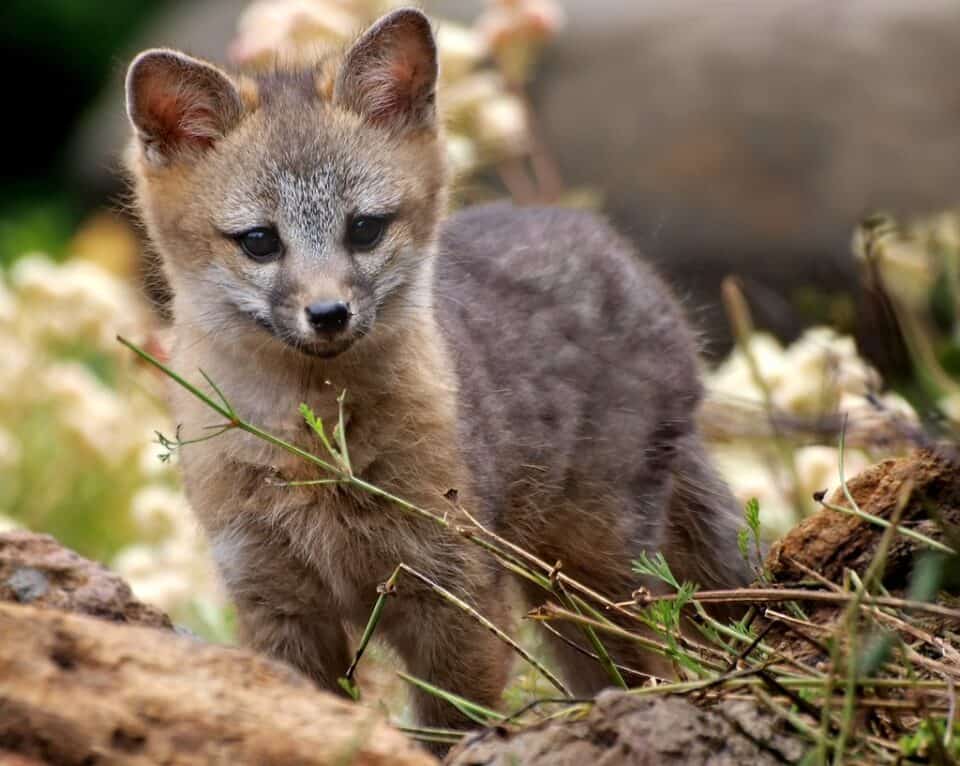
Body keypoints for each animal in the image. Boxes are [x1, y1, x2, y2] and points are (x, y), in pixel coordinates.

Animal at [123, 7, 749, 738]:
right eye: (259, 242)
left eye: (364, 229)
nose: (328, 314)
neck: (316, 453)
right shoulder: (273, 599)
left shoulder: (452, 590)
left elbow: (451, 725)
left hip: (596, 578)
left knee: (654, 663)